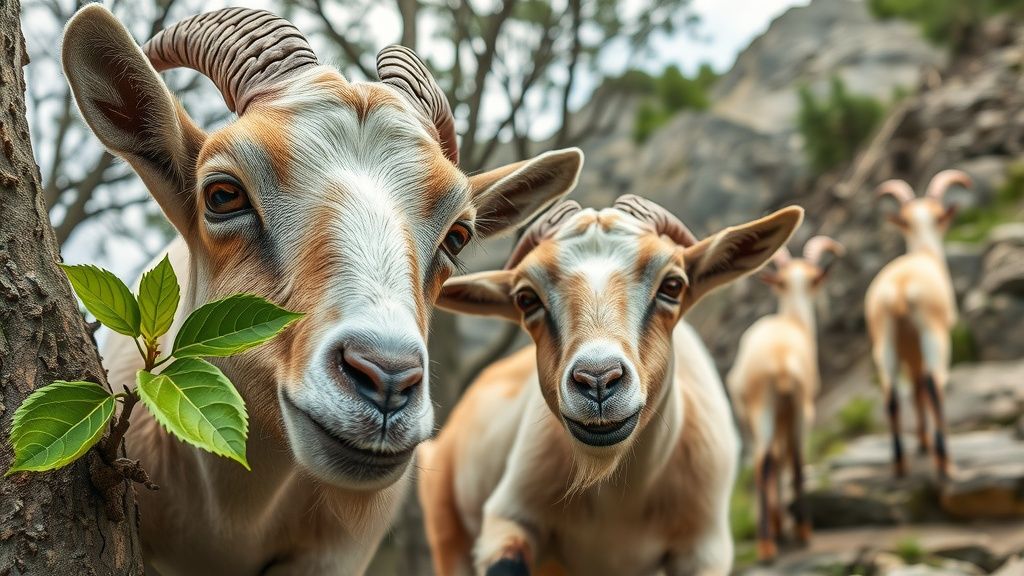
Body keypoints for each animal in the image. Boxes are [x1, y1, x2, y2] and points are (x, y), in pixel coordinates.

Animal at [418, 196, 803, 575]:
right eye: (526, 298)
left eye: (673, 285)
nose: (598, 379)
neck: (619, 496)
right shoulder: (509, 516)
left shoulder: (705, 551)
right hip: (448, 536)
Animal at [727, 236, 844, 562]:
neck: (794, 322)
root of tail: (779, 364)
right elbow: (784, 459)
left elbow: (778, 460)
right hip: (792, 410)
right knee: (785, 459)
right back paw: (792, 533)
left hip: (766, 414)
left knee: (769, 460)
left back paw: (770, 538)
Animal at [866, 170, 971, 481]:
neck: (924, 252)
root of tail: (901, 290)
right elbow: (924, 388)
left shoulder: (910, 352)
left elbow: (914, 390)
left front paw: (922, 443)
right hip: (933, 334)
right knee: (934, 385)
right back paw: (945, 462)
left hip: (885, 342)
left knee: (892, 396)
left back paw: (900, 464)